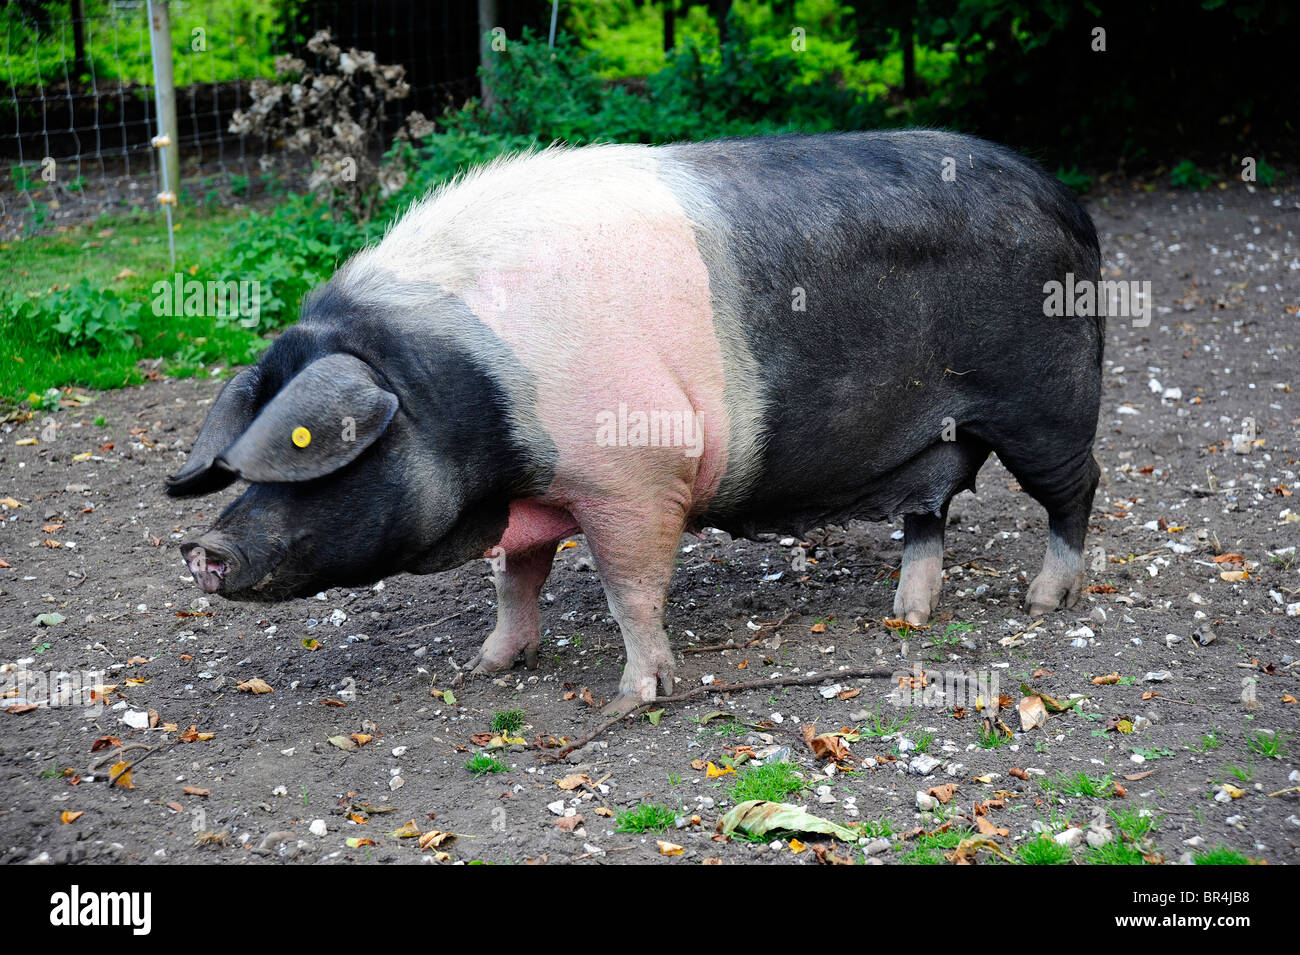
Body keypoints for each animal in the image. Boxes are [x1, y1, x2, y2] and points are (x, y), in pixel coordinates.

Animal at [169, 130, 1103, 716]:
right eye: (239, 465)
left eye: (311, 451)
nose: (203, 548)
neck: (471, 393)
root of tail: (1065, 200)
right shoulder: (535, 492)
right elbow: (516, 581)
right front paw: (487, 663)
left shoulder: (638, 469)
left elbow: (630, 590)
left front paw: (633, 695)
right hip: (943, 434)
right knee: (928, 510)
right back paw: (906, 616)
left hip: (1045, 405)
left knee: (1077, 488)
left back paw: (1043, 599)